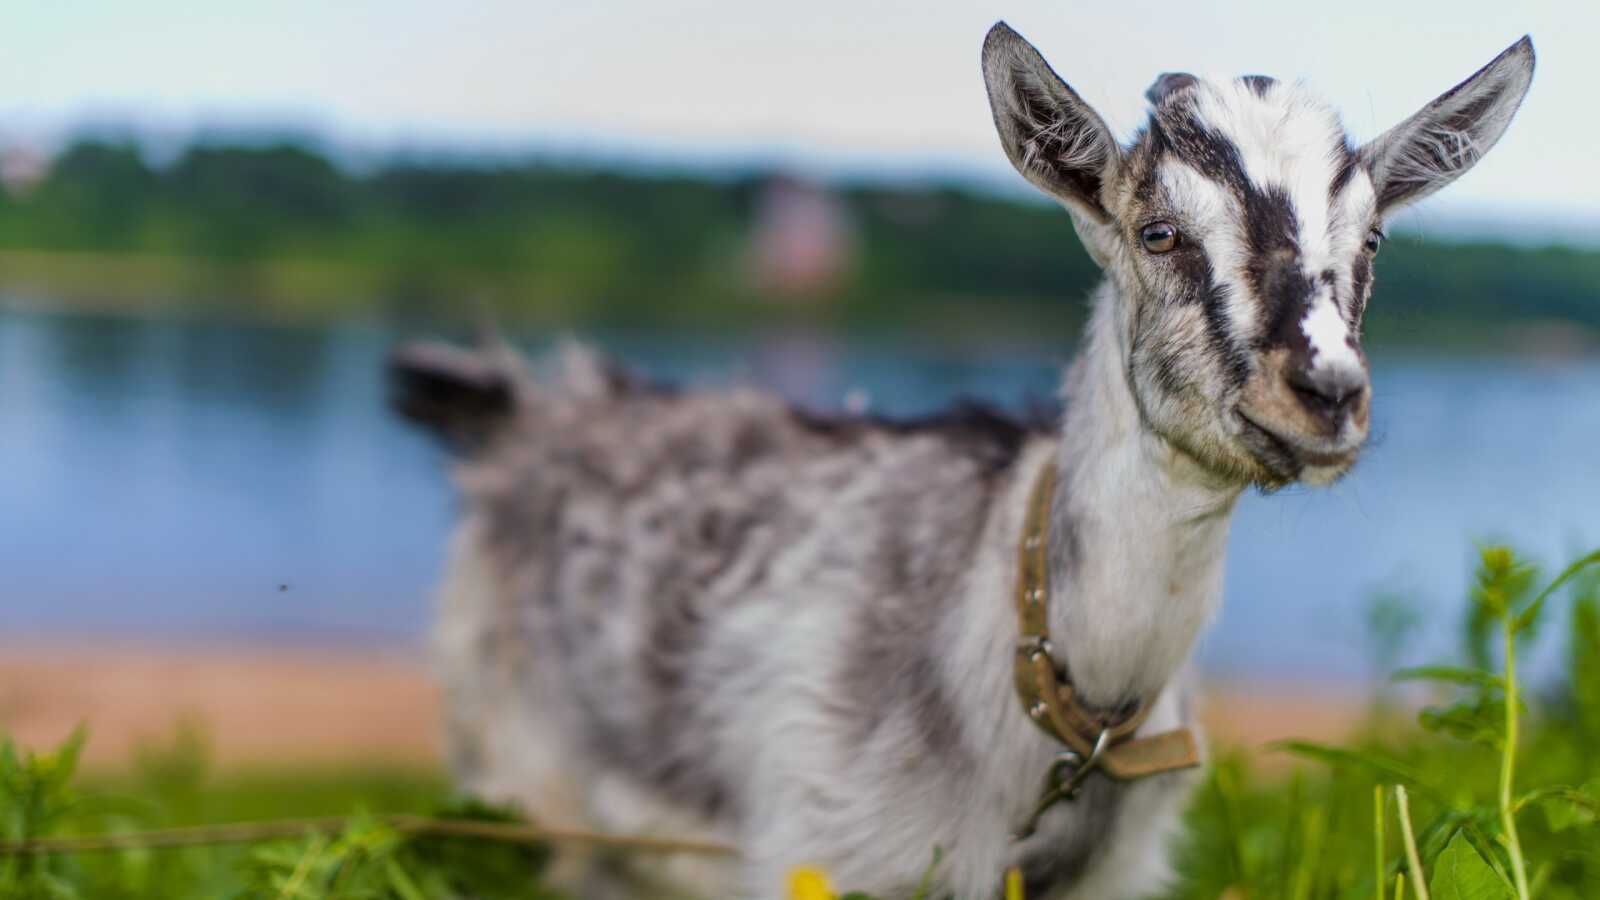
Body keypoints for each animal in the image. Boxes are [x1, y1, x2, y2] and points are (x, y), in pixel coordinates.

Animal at [391, 23, 1533, 899]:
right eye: (1158, 232)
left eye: (1372, 239)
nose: (1326, 392)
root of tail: (531, 408)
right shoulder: (828, 850)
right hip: (523, 772)